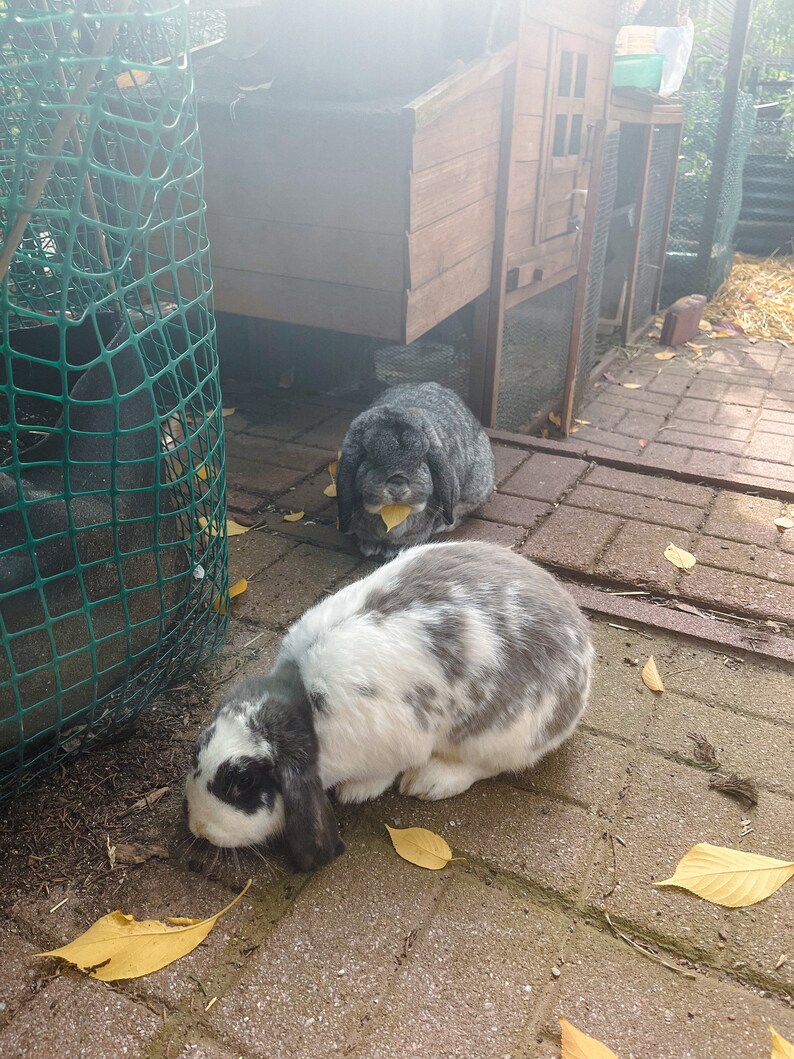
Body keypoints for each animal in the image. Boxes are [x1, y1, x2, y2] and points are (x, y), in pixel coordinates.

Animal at [184, 541, 593, 871]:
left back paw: (428, 782)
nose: (198, 829)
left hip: (503, 735)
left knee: (486, 765)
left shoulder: (395, 745)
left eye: (244, 782)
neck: (303, 704)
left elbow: (382, 774)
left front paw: (356, 792)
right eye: (196, 753)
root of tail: (585, 650)